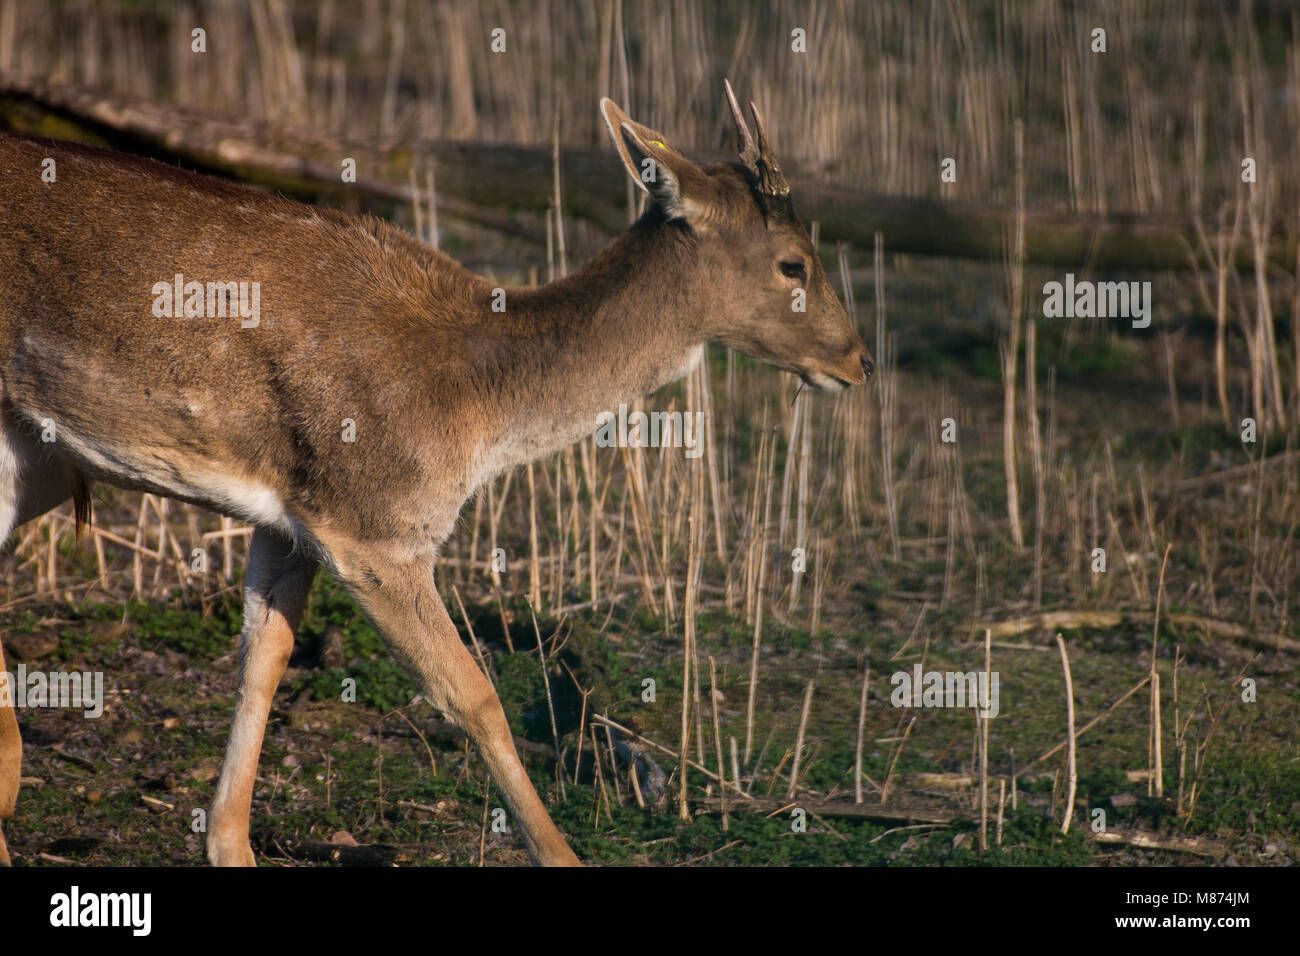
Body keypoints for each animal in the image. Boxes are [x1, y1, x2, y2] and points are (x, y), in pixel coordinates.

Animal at [0, 80, 872, 867]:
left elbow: (263, 659)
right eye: (793, 264)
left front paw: (229, 844)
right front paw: (559, 853)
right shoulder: (375, 523)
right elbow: (473, 695)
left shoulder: (292, 515)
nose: (860, 361)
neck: (479, 405)